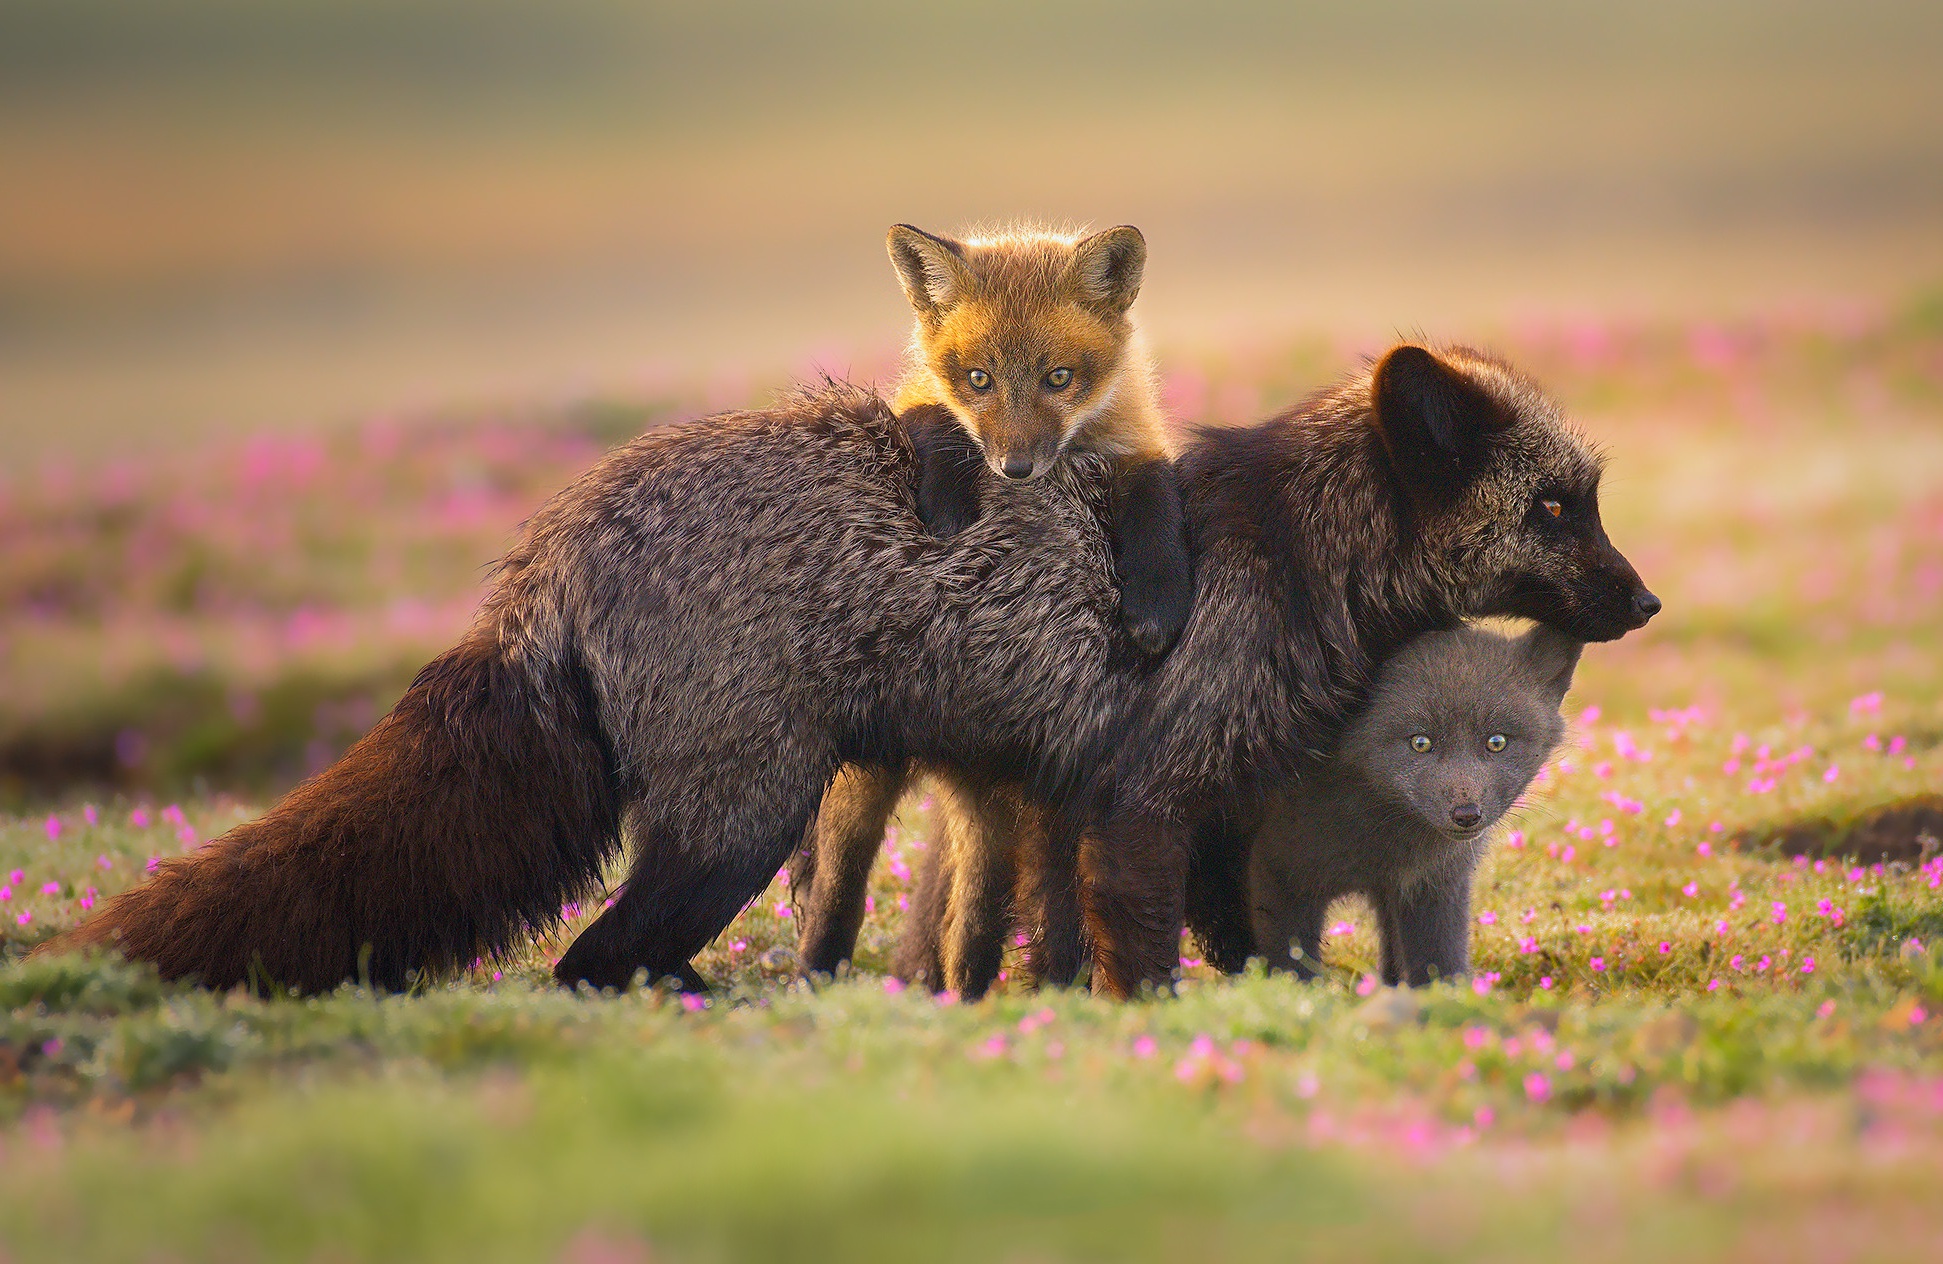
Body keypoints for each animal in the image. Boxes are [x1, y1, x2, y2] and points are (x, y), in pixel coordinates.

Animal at [1248, 623, 1580, 986]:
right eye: (1420, 743)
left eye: (1497, 742)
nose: (1467, 815)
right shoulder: (1278, 877)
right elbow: (1293, 970)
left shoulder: (1434, 883)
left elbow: (1440, 964)